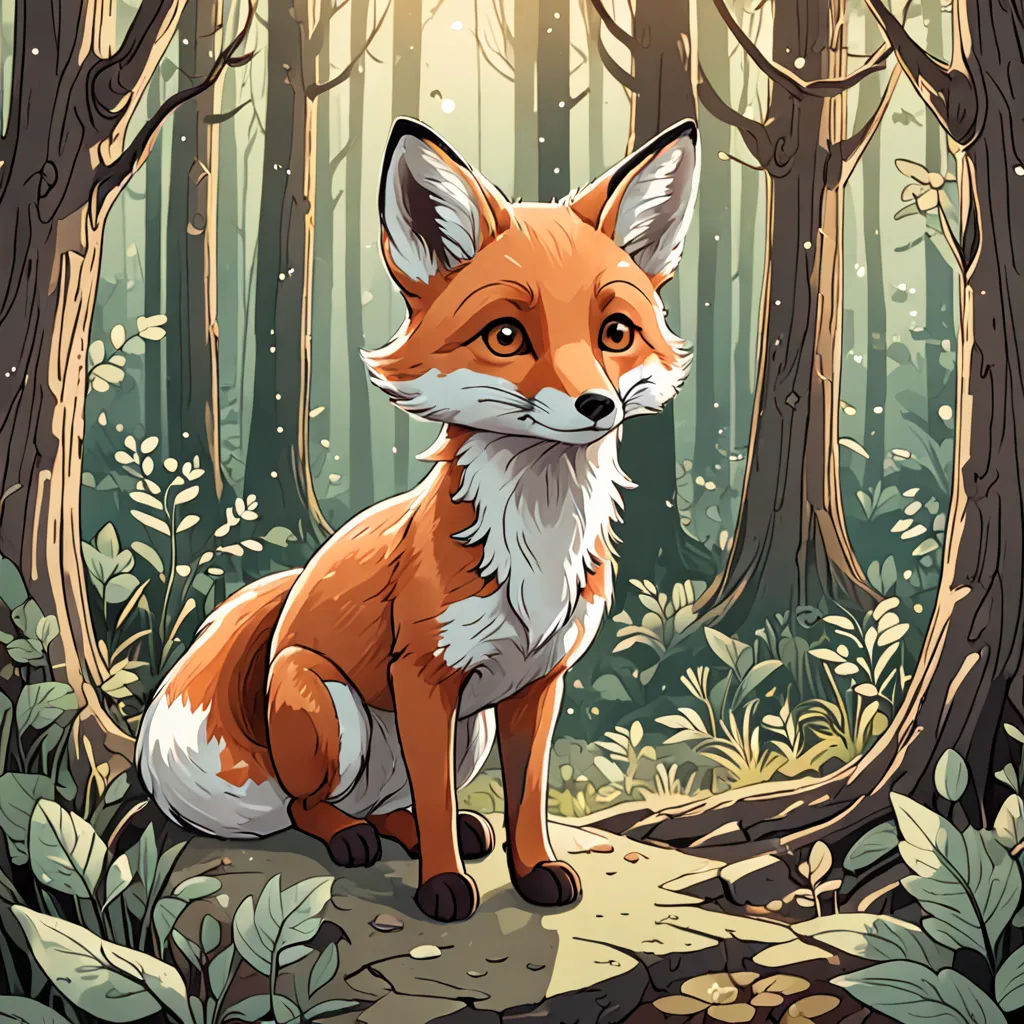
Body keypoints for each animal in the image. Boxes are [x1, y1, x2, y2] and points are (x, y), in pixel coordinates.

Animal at [136, 116, 700, 923]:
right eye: (506, 336)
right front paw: (442, 886)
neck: (537, 544)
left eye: (616, 334)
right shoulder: (423, 678)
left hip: (473, 725)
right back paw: (353, 837)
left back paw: (429, 829)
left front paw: (534, 871)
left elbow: (526, 798)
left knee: (395, 805)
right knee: (311, 807)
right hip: (328, 700)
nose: (597, 405)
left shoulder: (538, 683)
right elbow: (433, 800)